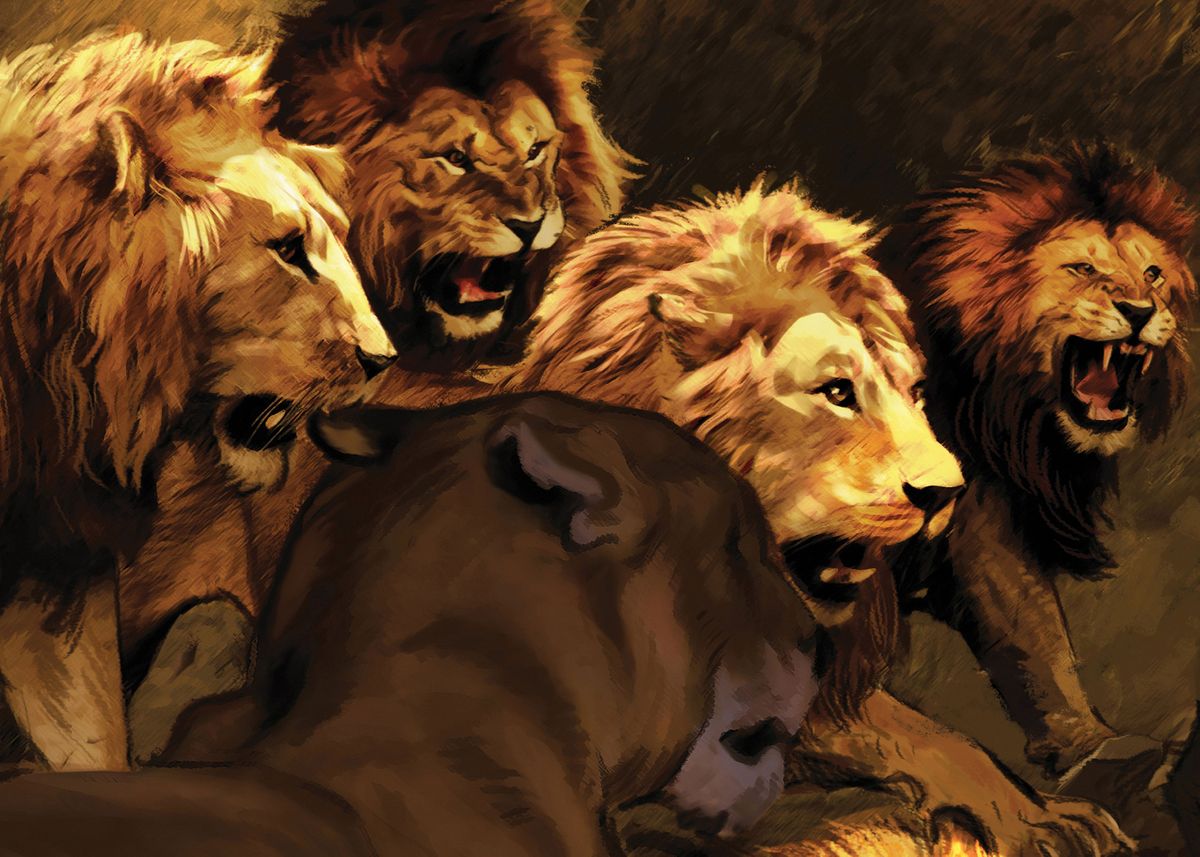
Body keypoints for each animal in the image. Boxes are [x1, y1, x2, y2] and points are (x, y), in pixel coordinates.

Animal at [875, 144, 1198, 777]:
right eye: (1083, 270)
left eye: (1153, 274)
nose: (1140, 310)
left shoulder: (984, 518)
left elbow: (1035, 633)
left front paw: (1094, 749)